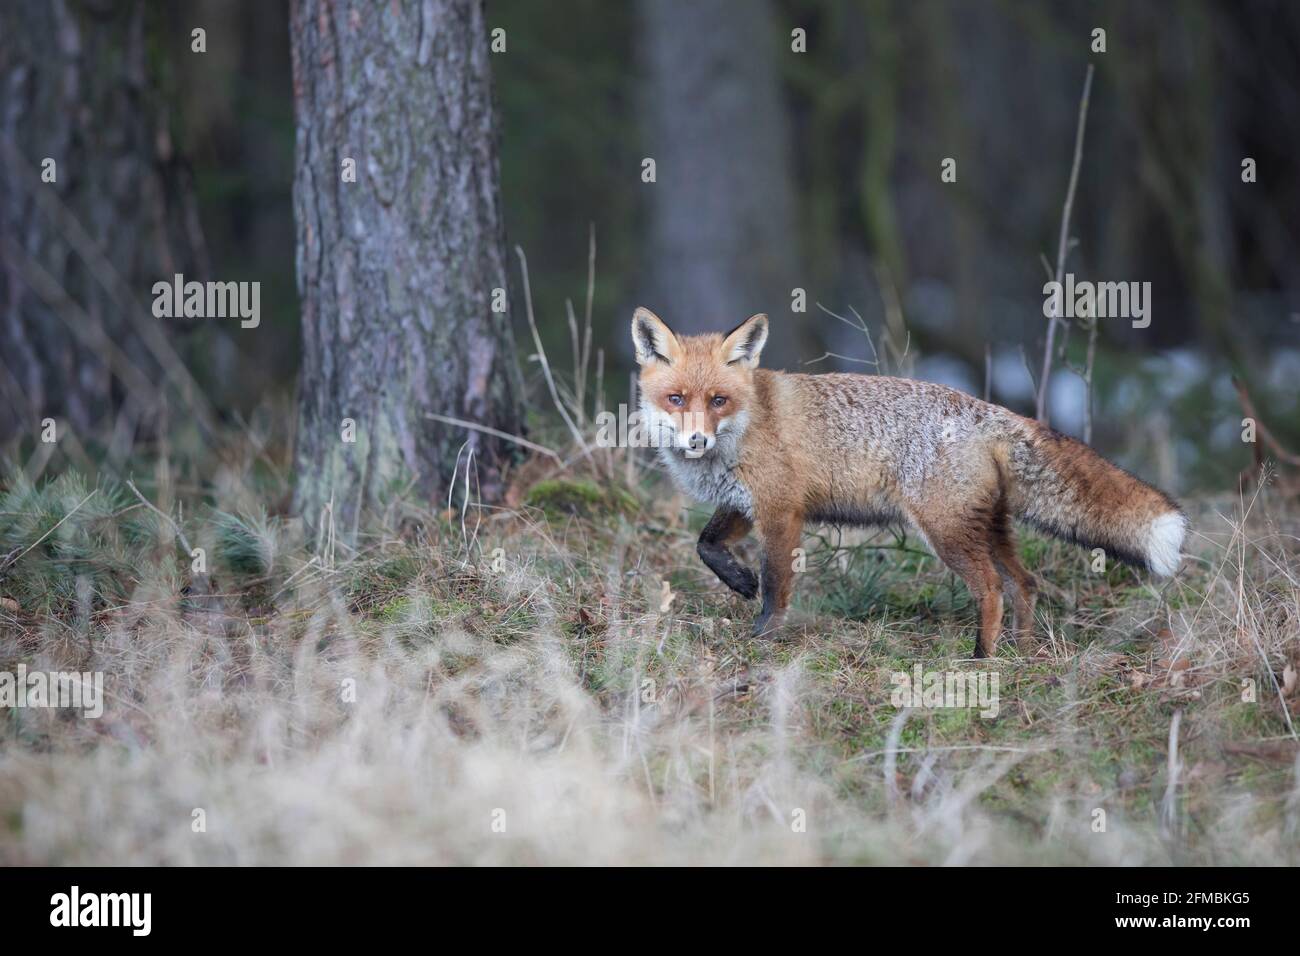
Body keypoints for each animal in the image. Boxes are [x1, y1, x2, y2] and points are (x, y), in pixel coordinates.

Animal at [631, 307, 1188, 657]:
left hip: (947, 532)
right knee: (1024, 583)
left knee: (992, 588)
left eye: (718, 400)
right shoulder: (745, 505)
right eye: (676, 399)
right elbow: (706, 545)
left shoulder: (780, 510)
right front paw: (739, 581)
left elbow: (776, 585)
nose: (697, 440)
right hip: (988, 528)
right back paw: (1023, 650)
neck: (745, 426)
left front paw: (763, 635)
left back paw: (981, 657)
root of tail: (992, 412)